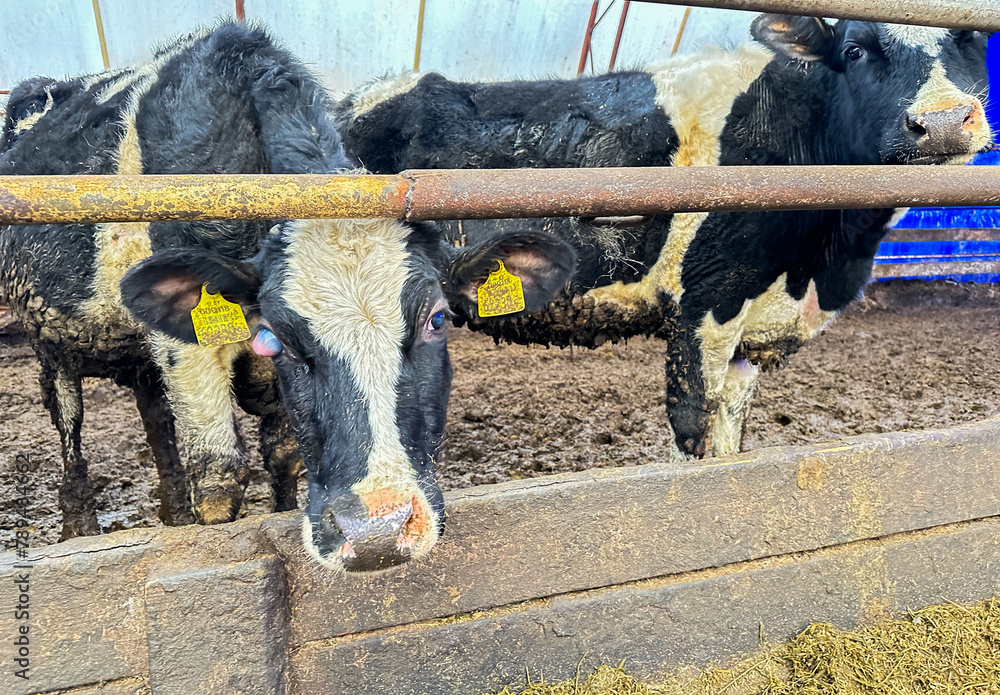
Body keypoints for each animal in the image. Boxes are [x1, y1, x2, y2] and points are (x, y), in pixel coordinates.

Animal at [0, 22, 574, 571]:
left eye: (438, 320)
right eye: (275, 339)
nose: (376, 531)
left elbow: (281, 457)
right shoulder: (187, 353)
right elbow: (219, 477)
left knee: (155, 418)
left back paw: (172, 513)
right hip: (48, 341)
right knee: (70, 421)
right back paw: (80, 526)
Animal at [337, 15, 994, 459]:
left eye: (972, 37)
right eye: (856, 49)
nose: (941, 121)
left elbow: (729, 435)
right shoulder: (704, 302)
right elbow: (695, 429)